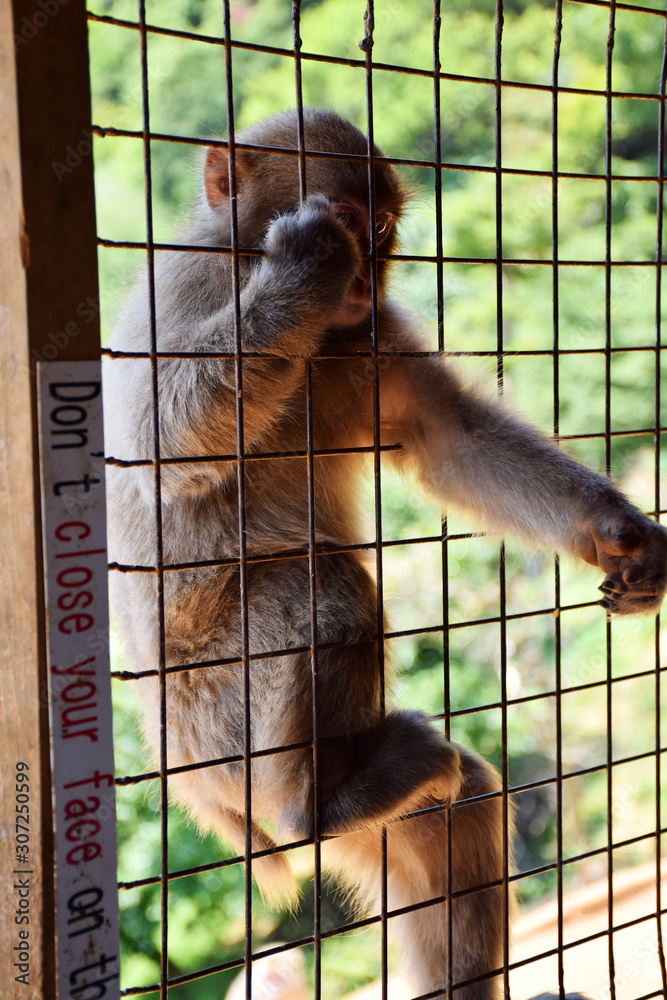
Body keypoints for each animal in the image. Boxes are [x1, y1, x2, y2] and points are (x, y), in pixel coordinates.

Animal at [103, 108, 666, 999]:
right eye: (345, 219)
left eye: (382, 230)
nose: (362, 272)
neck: (319, 339)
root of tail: (206, 795)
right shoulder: (188, 285)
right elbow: (162, 443)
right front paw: (304, 271)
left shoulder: (370, 335)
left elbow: (451, 438)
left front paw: (619, 530)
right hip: (219, 720)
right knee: (321, 584)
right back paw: (316, 804)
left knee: (455, 801)